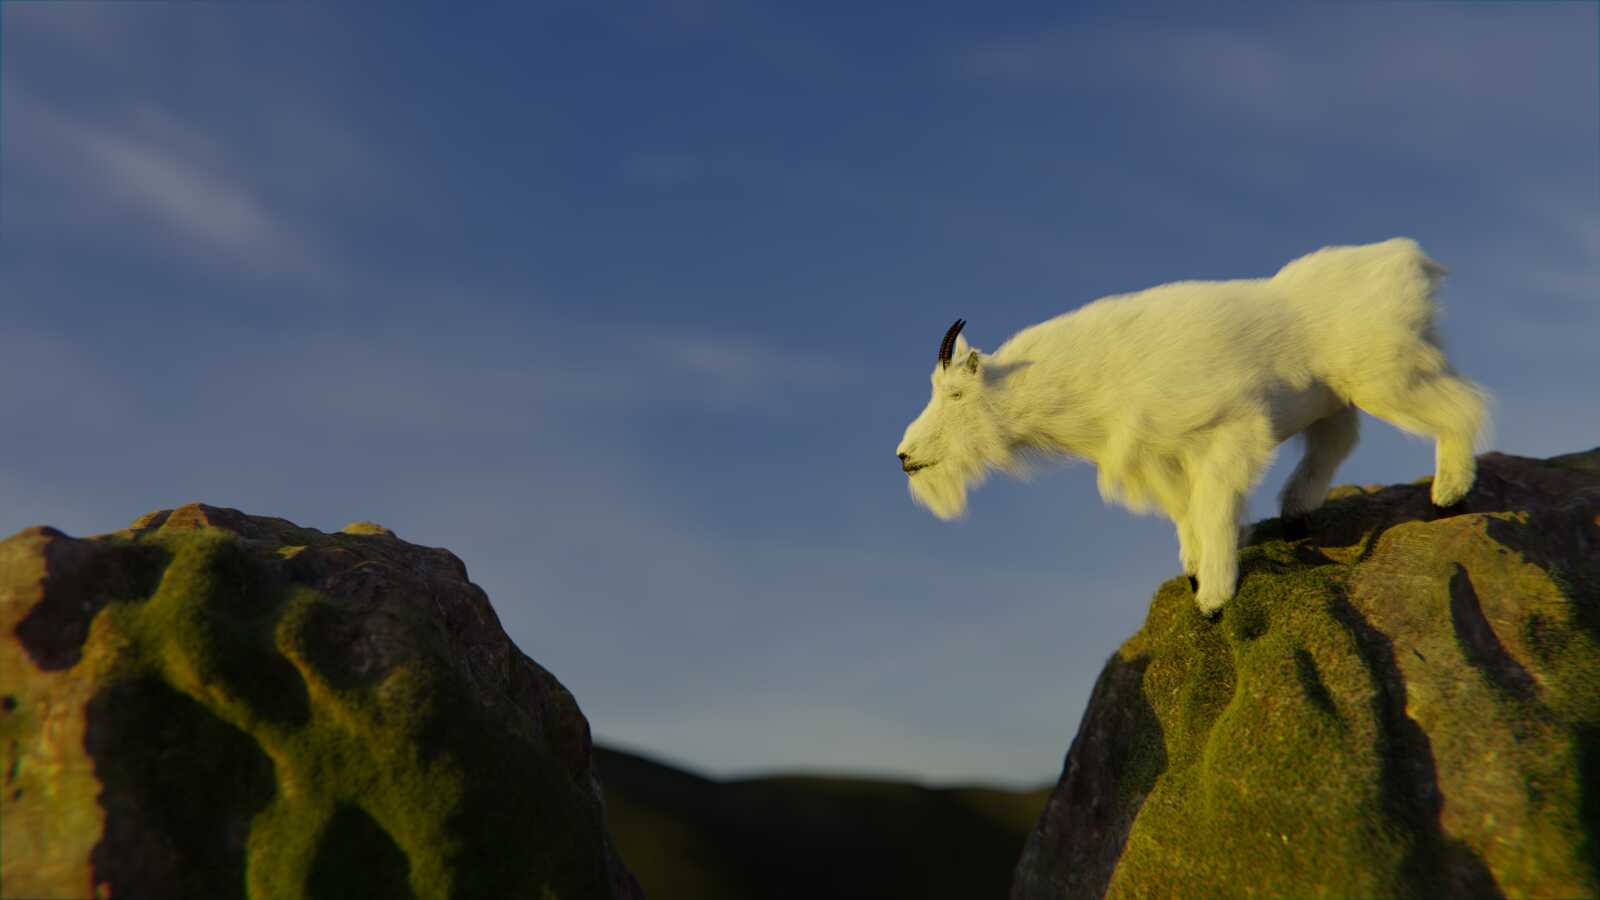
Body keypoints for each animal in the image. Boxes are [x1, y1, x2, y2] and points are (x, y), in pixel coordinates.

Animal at [895, 238, 1488, 616]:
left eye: (955, 394)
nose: (904, 455)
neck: (1098, 376)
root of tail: (1411, 262)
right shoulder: (1161, 456)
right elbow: (1185, 511)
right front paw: (1196, 568)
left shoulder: (1227, 434)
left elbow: (1213, 505)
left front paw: (1213, 599)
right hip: (1338, 397)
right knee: (1338, 441)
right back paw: (1297, 512)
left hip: (1388, 375)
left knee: (1464, 405)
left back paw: (1449, 493)